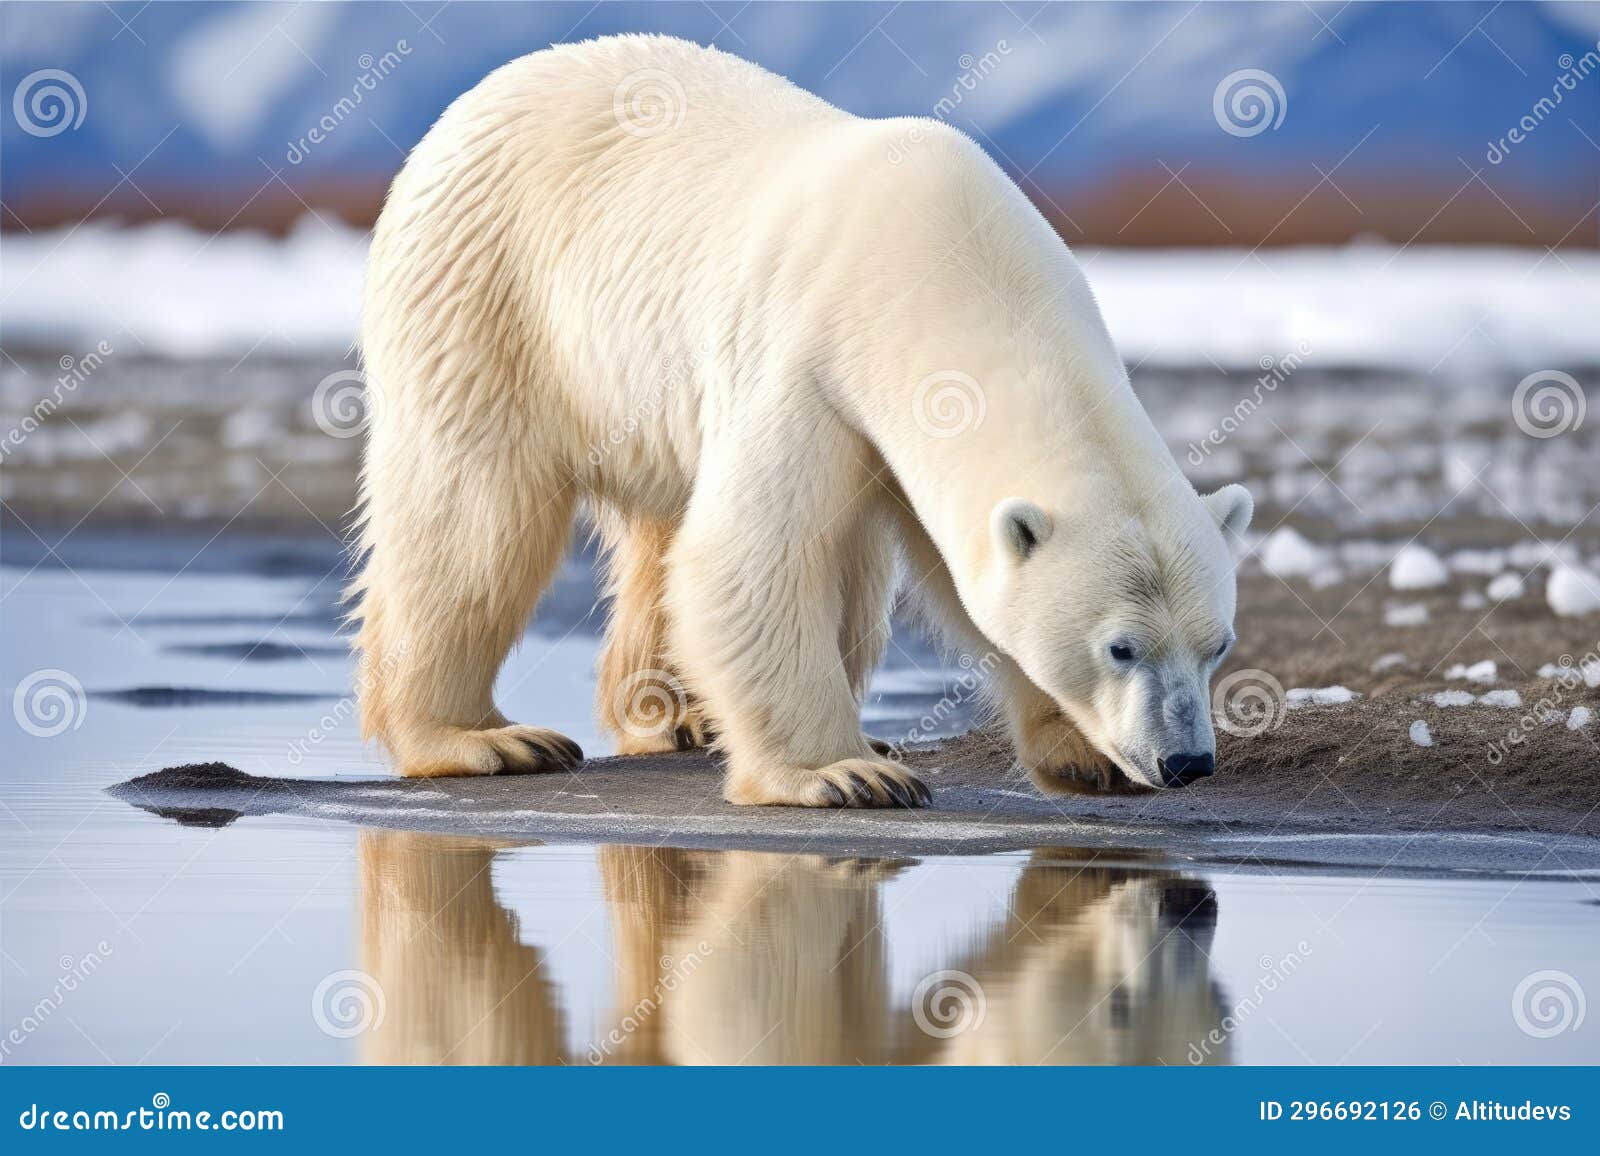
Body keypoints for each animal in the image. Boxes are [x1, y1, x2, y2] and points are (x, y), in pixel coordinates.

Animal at [349, 34, 1253, 806]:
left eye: (1218, 644)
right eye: (1121, 647)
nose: (1187, 762)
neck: (956, 261)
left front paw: (1074, 752)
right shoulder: (809, 357)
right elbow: (754, 555)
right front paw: (844, 774)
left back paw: (677, 717)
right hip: (486, 291)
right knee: (474, 517)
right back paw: (483, 738)